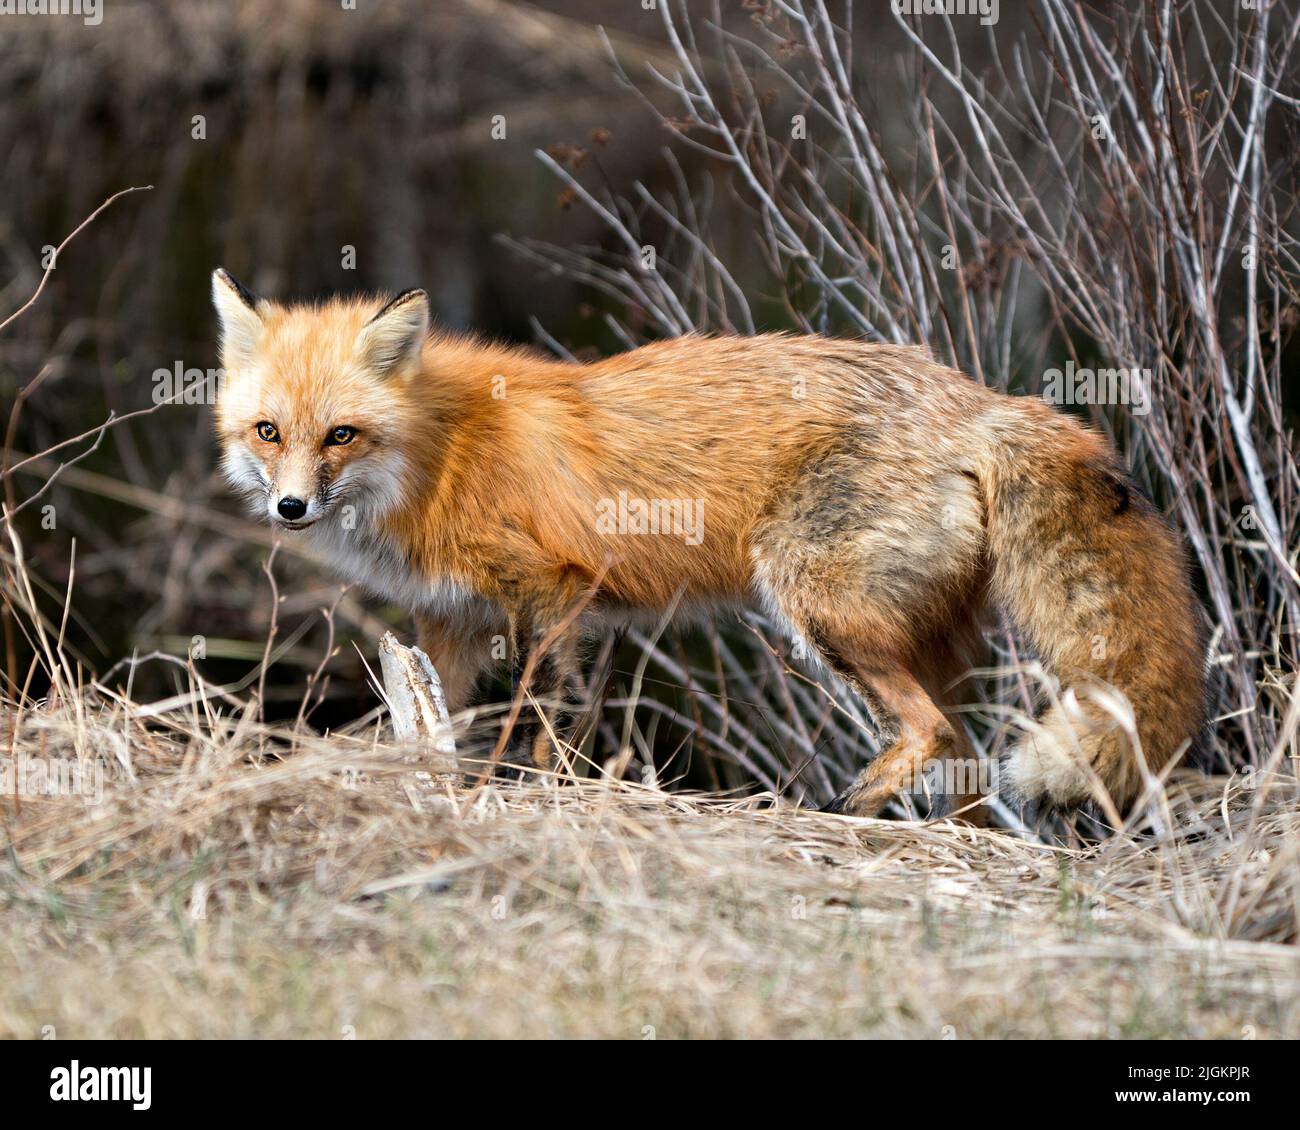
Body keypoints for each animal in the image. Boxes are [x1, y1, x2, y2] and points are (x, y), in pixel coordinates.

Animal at [211, 267, 1207, 819]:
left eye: (341, 435)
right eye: (269, 432)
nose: (291, 508)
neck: (439, 452)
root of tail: (979, 400)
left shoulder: (554, 592)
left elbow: (539, 724)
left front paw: (524, 796)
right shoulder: (451, 623)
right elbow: (428, 726)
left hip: (820, 608)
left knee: (927, 729)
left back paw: (844, 809)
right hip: (929, 637)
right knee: (960, 750)